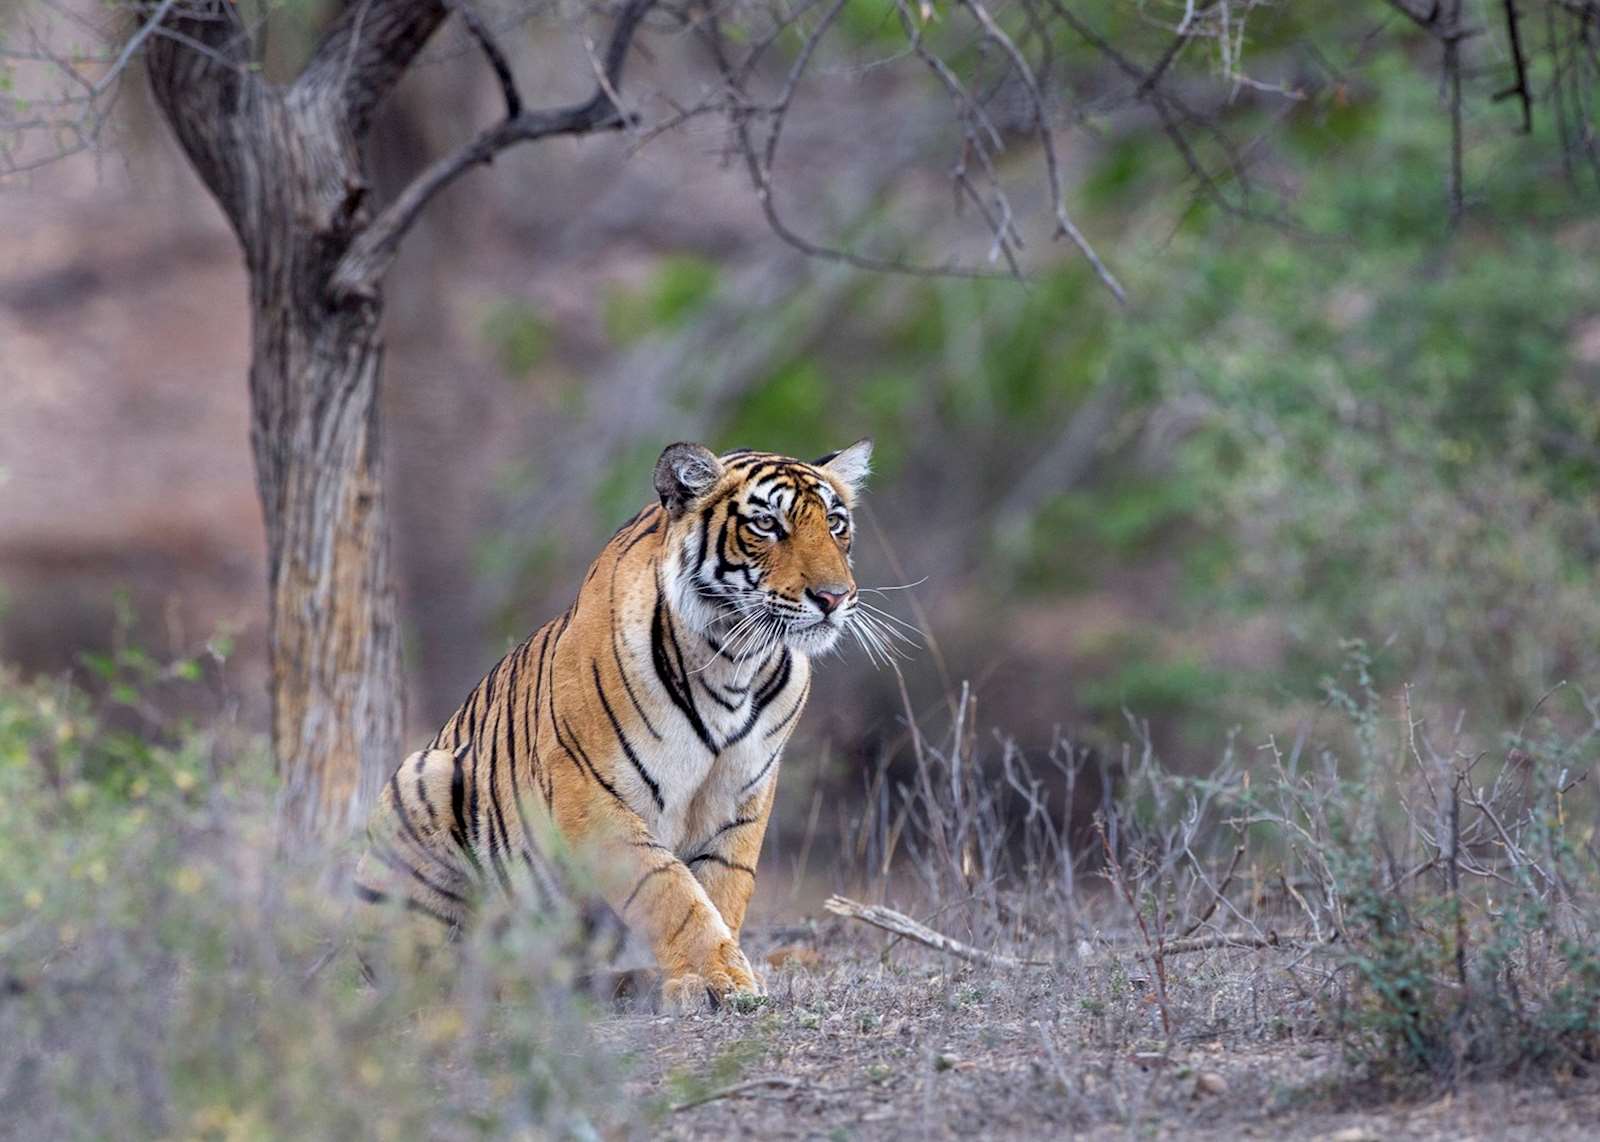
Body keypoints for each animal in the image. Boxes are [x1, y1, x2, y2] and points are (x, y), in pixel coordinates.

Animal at [352, 439, 873, 1010]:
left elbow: (722, 887)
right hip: (423, 776)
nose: (834, 597)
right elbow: (667, 888)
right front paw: (716, 977)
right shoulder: (589, 793)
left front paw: (718, 975)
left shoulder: (743, 798)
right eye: (766, 525)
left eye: (836, 524)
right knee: (426, 978)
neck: (734, 661)